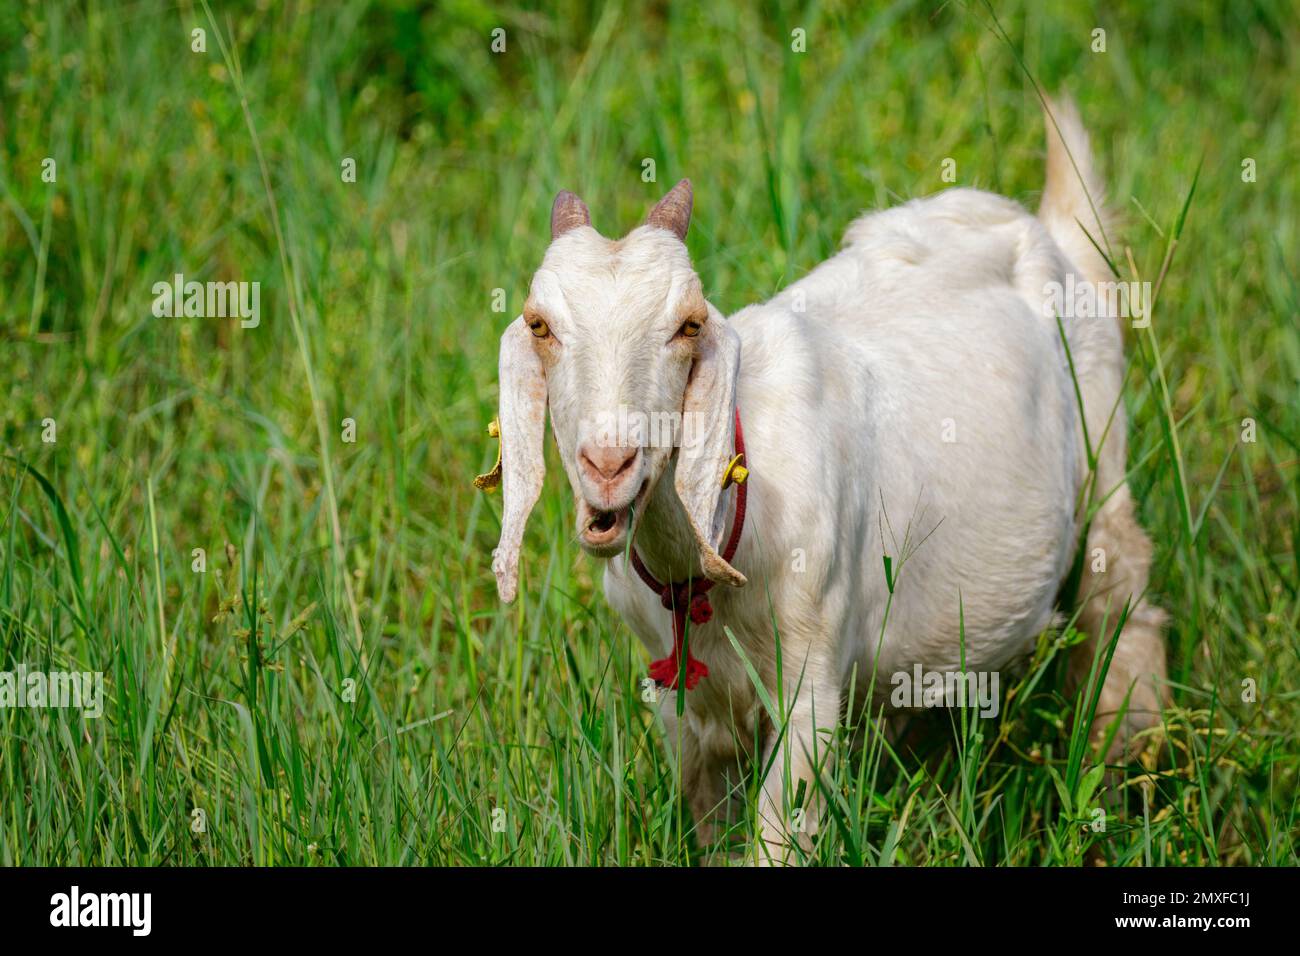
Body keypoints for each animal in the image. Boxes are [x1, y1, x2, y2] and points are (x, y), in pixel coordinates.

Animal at [484, 97, 1167, 862]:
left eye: (688, 325)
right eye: (539, 326)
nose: (608, 465)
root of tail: (1045, 227)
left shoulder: (811, 683)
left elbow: (781, 833)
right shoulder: (684, 701)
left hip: (1104, 440)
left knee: (1122, 593)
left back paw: (1121, 771)